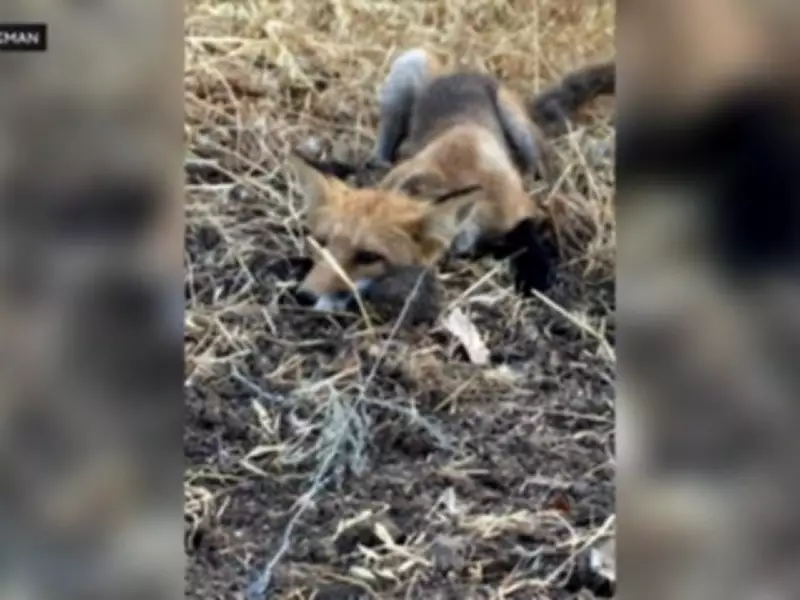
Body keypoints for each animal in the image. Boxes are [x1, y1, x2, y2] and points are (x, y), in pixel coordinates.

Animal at [289, 48, 615, 311]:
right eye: (321, 242)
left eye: (368, 257)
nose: (304, 296)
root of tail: (463, 68)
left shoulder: (521, 208)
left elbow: (528, 239)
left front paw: (534, 276)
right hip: (407, 67)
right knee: (381, 152)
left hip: (521, 128)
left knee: (545, 167)